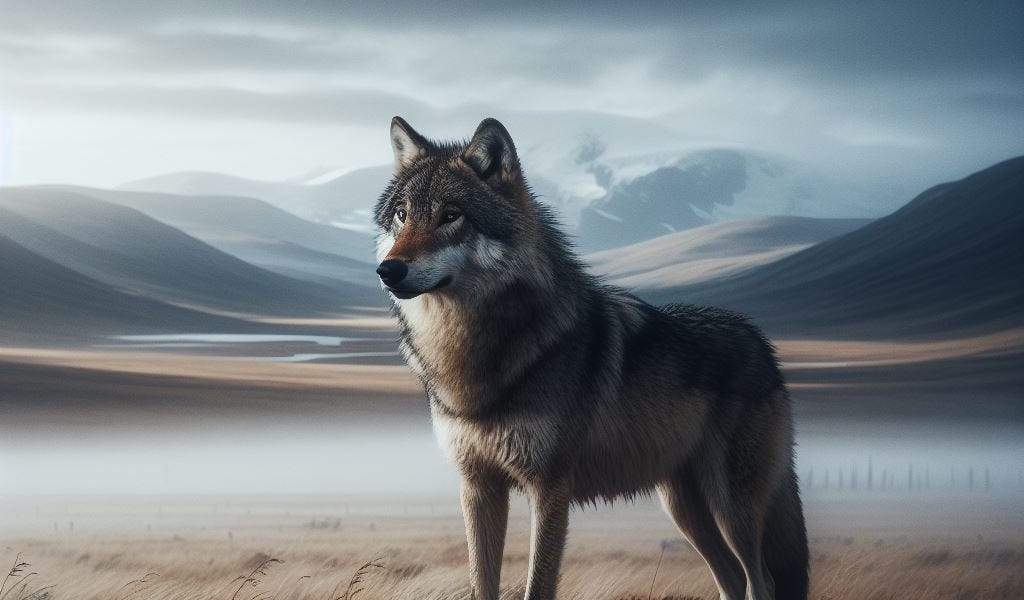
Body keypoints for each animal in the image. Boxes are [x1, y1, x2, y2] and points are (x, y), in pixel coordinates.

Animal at [373, 116, 809, 600]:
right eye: (402, 215)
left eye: (451, 215)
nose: (388, 270)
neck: (471, 355)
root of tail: (760, 339)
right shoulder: (478, 486)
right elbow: (481, 584)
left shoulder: (550, 487)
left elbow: (539, 585)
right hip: (682, 507)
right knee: (732, 579)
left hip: (730, 506)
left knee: (761, 579)